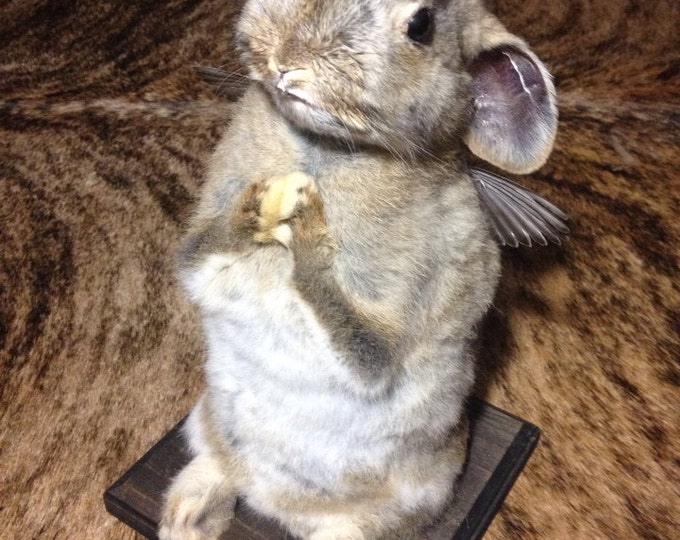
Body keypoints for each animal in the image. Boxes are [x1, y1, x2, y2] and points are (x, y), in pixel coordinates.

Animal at [159, 1, 557, 539]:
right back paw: (185, 518)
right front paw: (259, 203)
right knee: (218, 467)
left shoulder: (385, 334)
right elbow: (199, 252)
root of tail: (275, 506)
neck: (324, 148)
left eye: (421, 24)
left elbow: (360, 341)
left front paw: (306, 223)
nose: (288, 60)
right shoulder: (201, 263)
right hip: (206, 421)